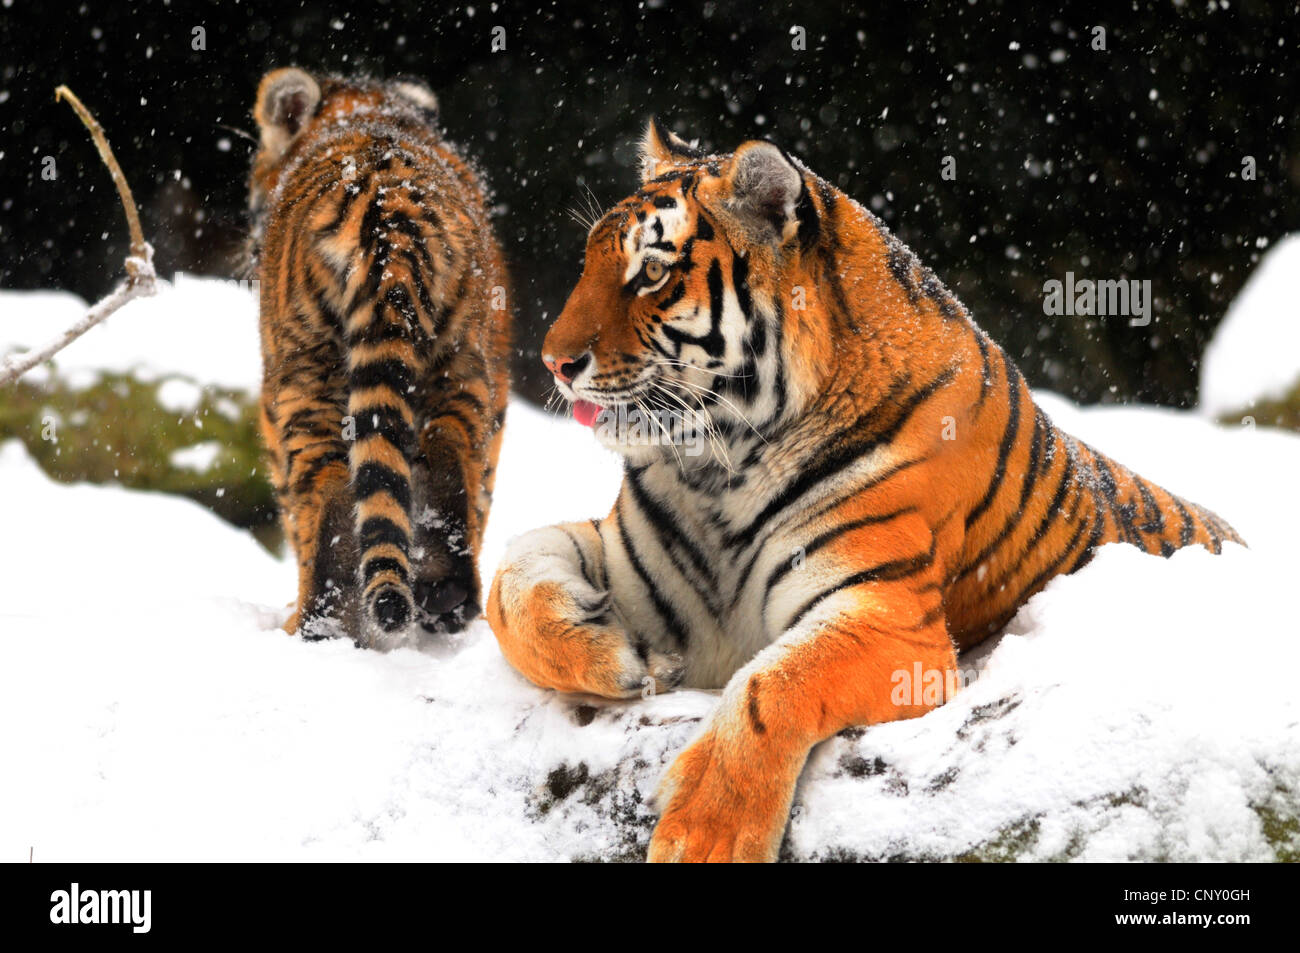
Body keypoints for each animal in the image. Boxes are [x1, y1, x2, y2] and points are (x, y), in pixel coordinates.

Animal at [249, 68, 511, 646]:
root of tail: (388, 212)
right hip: (460, 361)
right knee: (446, 452)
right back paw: (445, 596)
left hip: (307, 374)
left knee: (325, 488)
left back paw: (315, 623)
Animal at [486, 119, 1244, 862]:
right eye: (589, 262)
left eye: (652, 271)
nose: (553, 362)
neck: (716, 470)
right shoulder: (636, 564)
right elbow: (509, 581)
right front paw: (611, 658)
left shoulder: (891, 620)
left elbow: (771, 685)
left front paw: (703, 832)